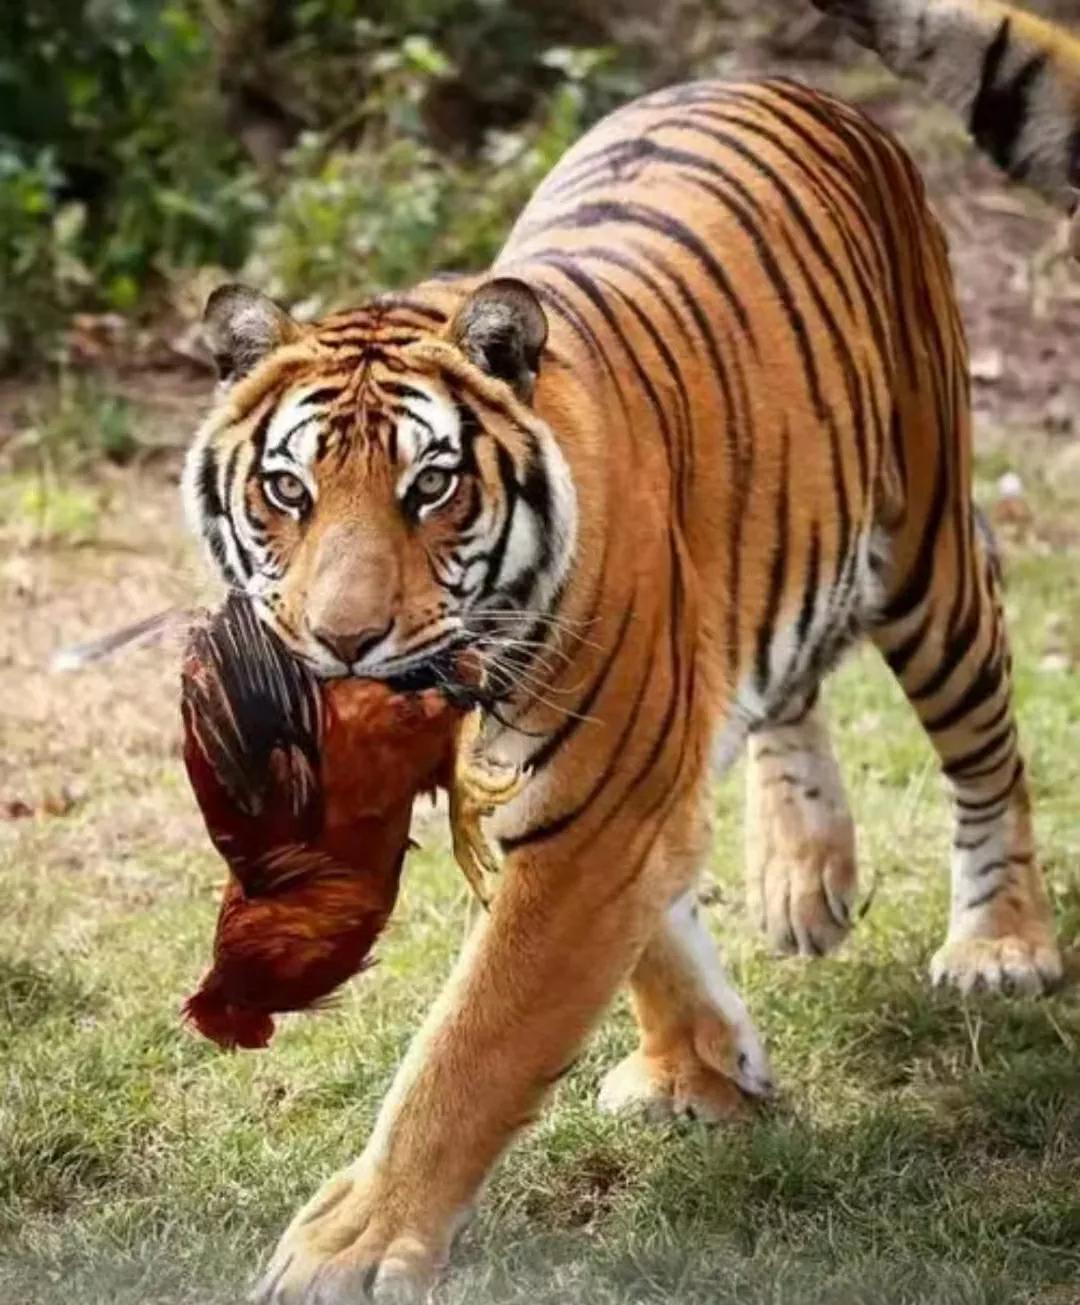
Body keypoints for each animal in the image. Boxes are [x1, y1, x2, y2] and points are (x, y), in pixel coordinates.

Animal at [182, 73, 1062, 1305]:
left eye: (430, 488)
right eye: (288, 492)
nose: (342, 641)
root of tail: (781, 81)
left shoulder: (598, 808)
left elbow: (476, 1038)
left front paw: (348, 1245)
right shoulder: (591, 795)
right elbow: (651, 935)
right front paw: (702, 1070)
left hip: (926, 550)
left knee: (987, 751)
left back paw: (1001, 946)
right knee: (792, 694)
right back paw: (804, 878)